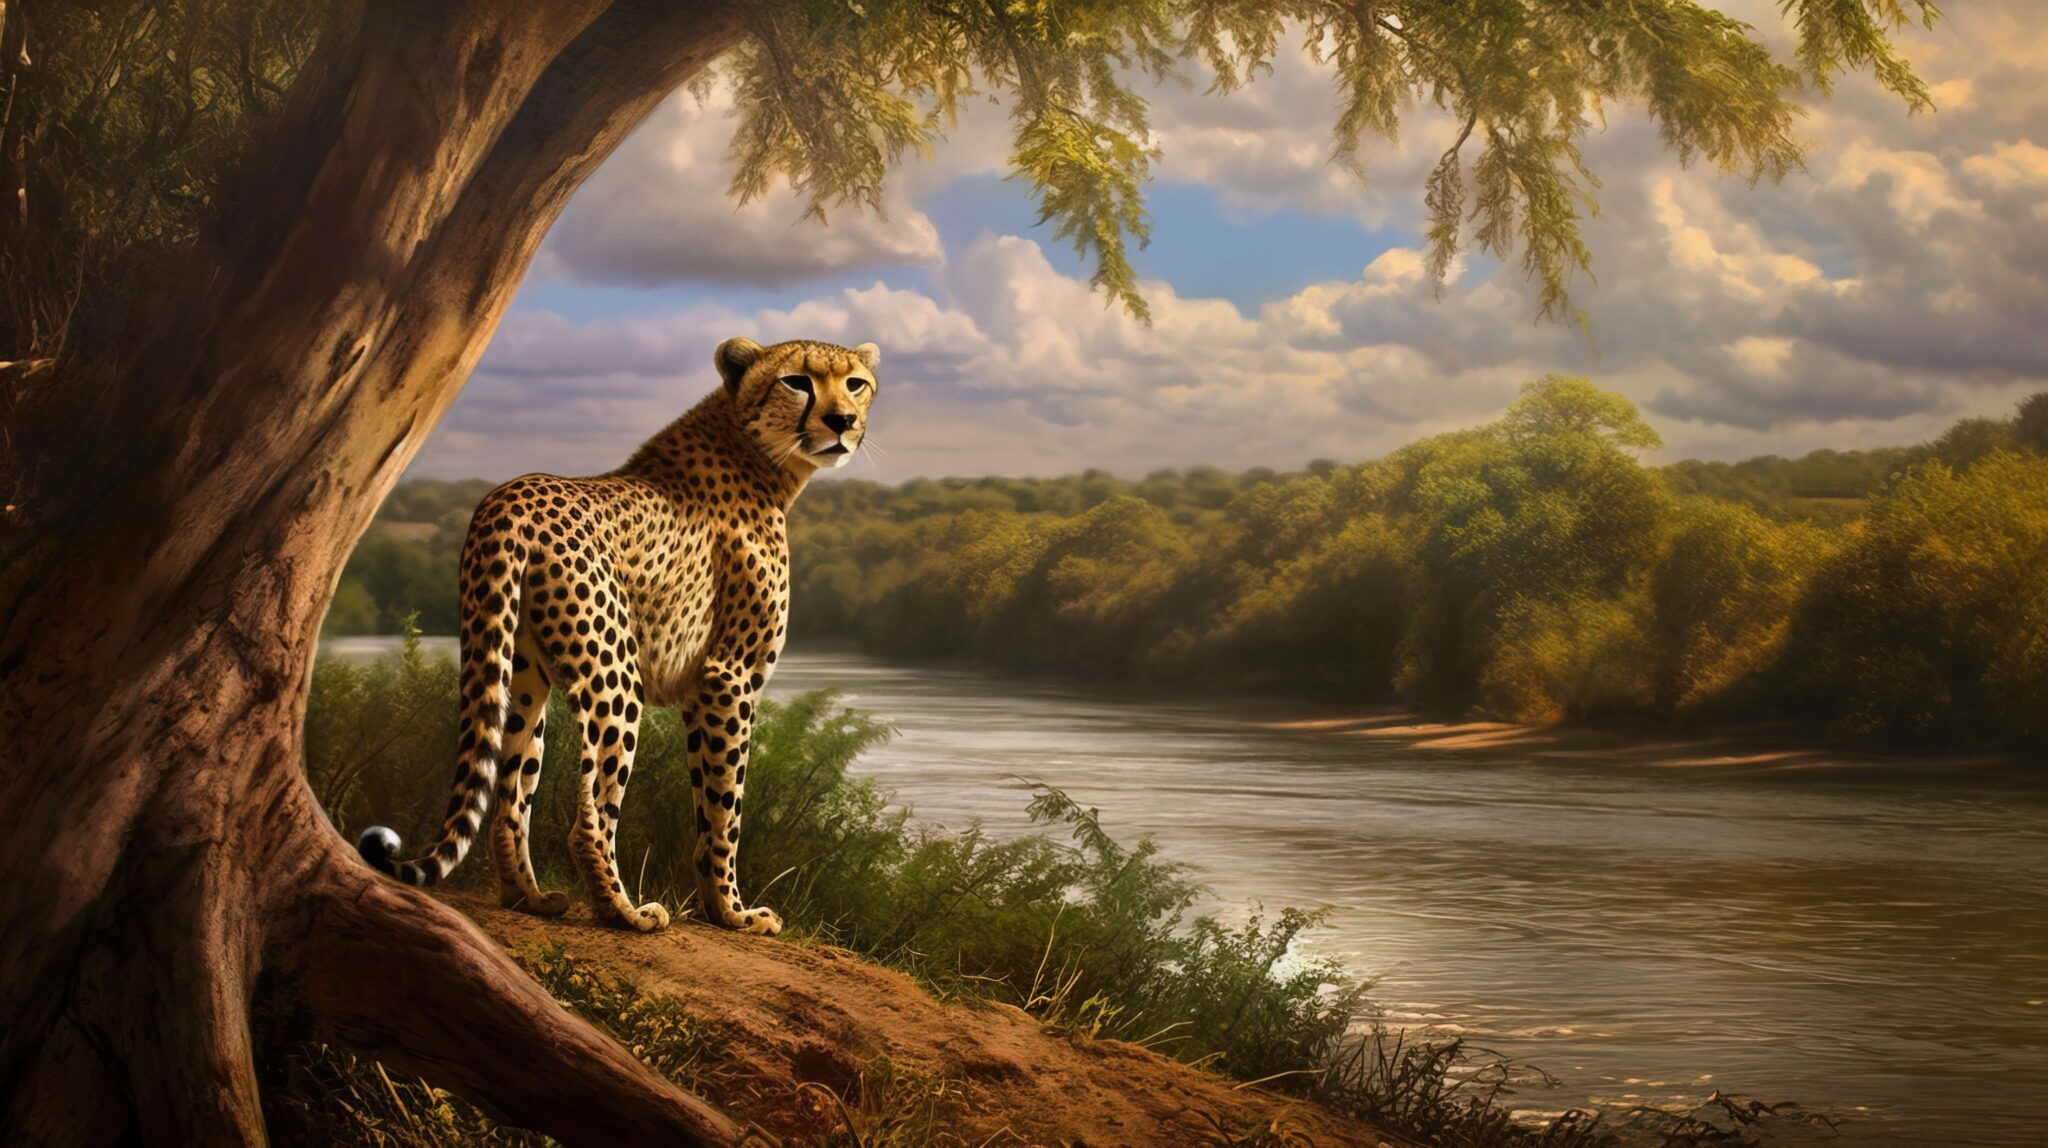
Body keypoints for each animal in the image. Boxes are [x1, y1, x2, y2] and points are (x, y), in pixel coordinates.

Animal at [356, 336, 879, 936]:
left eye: (855, 383)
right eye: (797, 381)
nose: (842, 420)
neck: (757, 453)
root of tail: (511, 492)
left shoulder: (701, 691)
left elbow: (705, 801)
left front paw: (716, 907)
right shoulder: (731, 677)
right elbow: (726, 808)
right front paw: (733, 914)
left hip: (520, 675)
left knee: (510, 798)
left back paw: (530, 898)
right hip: (615, 674)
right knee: (590, 819)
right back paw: (626, 912)